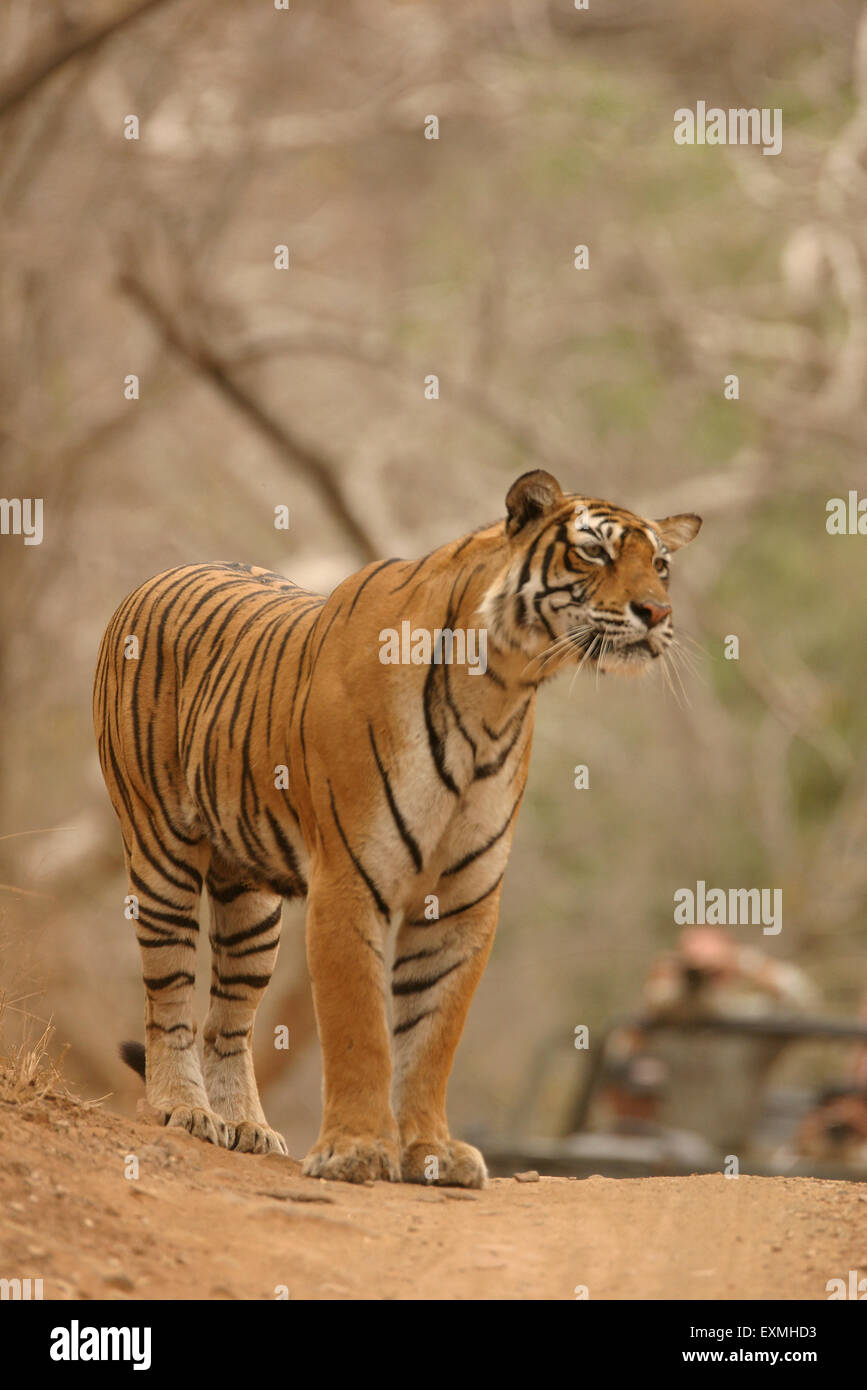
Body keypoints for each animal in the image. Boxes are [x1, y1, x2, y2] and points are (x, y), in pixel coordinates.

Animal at [93, 469, 700, 1187]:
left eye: (660, 565)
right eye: (595, 552)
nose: (656, 613)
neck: (501, 688)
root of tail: (156, 577)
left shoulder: (461, 901)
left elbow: (432, 1036)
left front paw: (432, 1152)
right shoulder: (349, 880)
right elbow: (359, 1027)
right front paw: (355, 1150)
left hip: (250, 905)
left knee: (229, 1022)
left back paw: (246, 1126)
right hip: (162, 858)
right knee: (170, 999)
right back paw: (181, 1111)